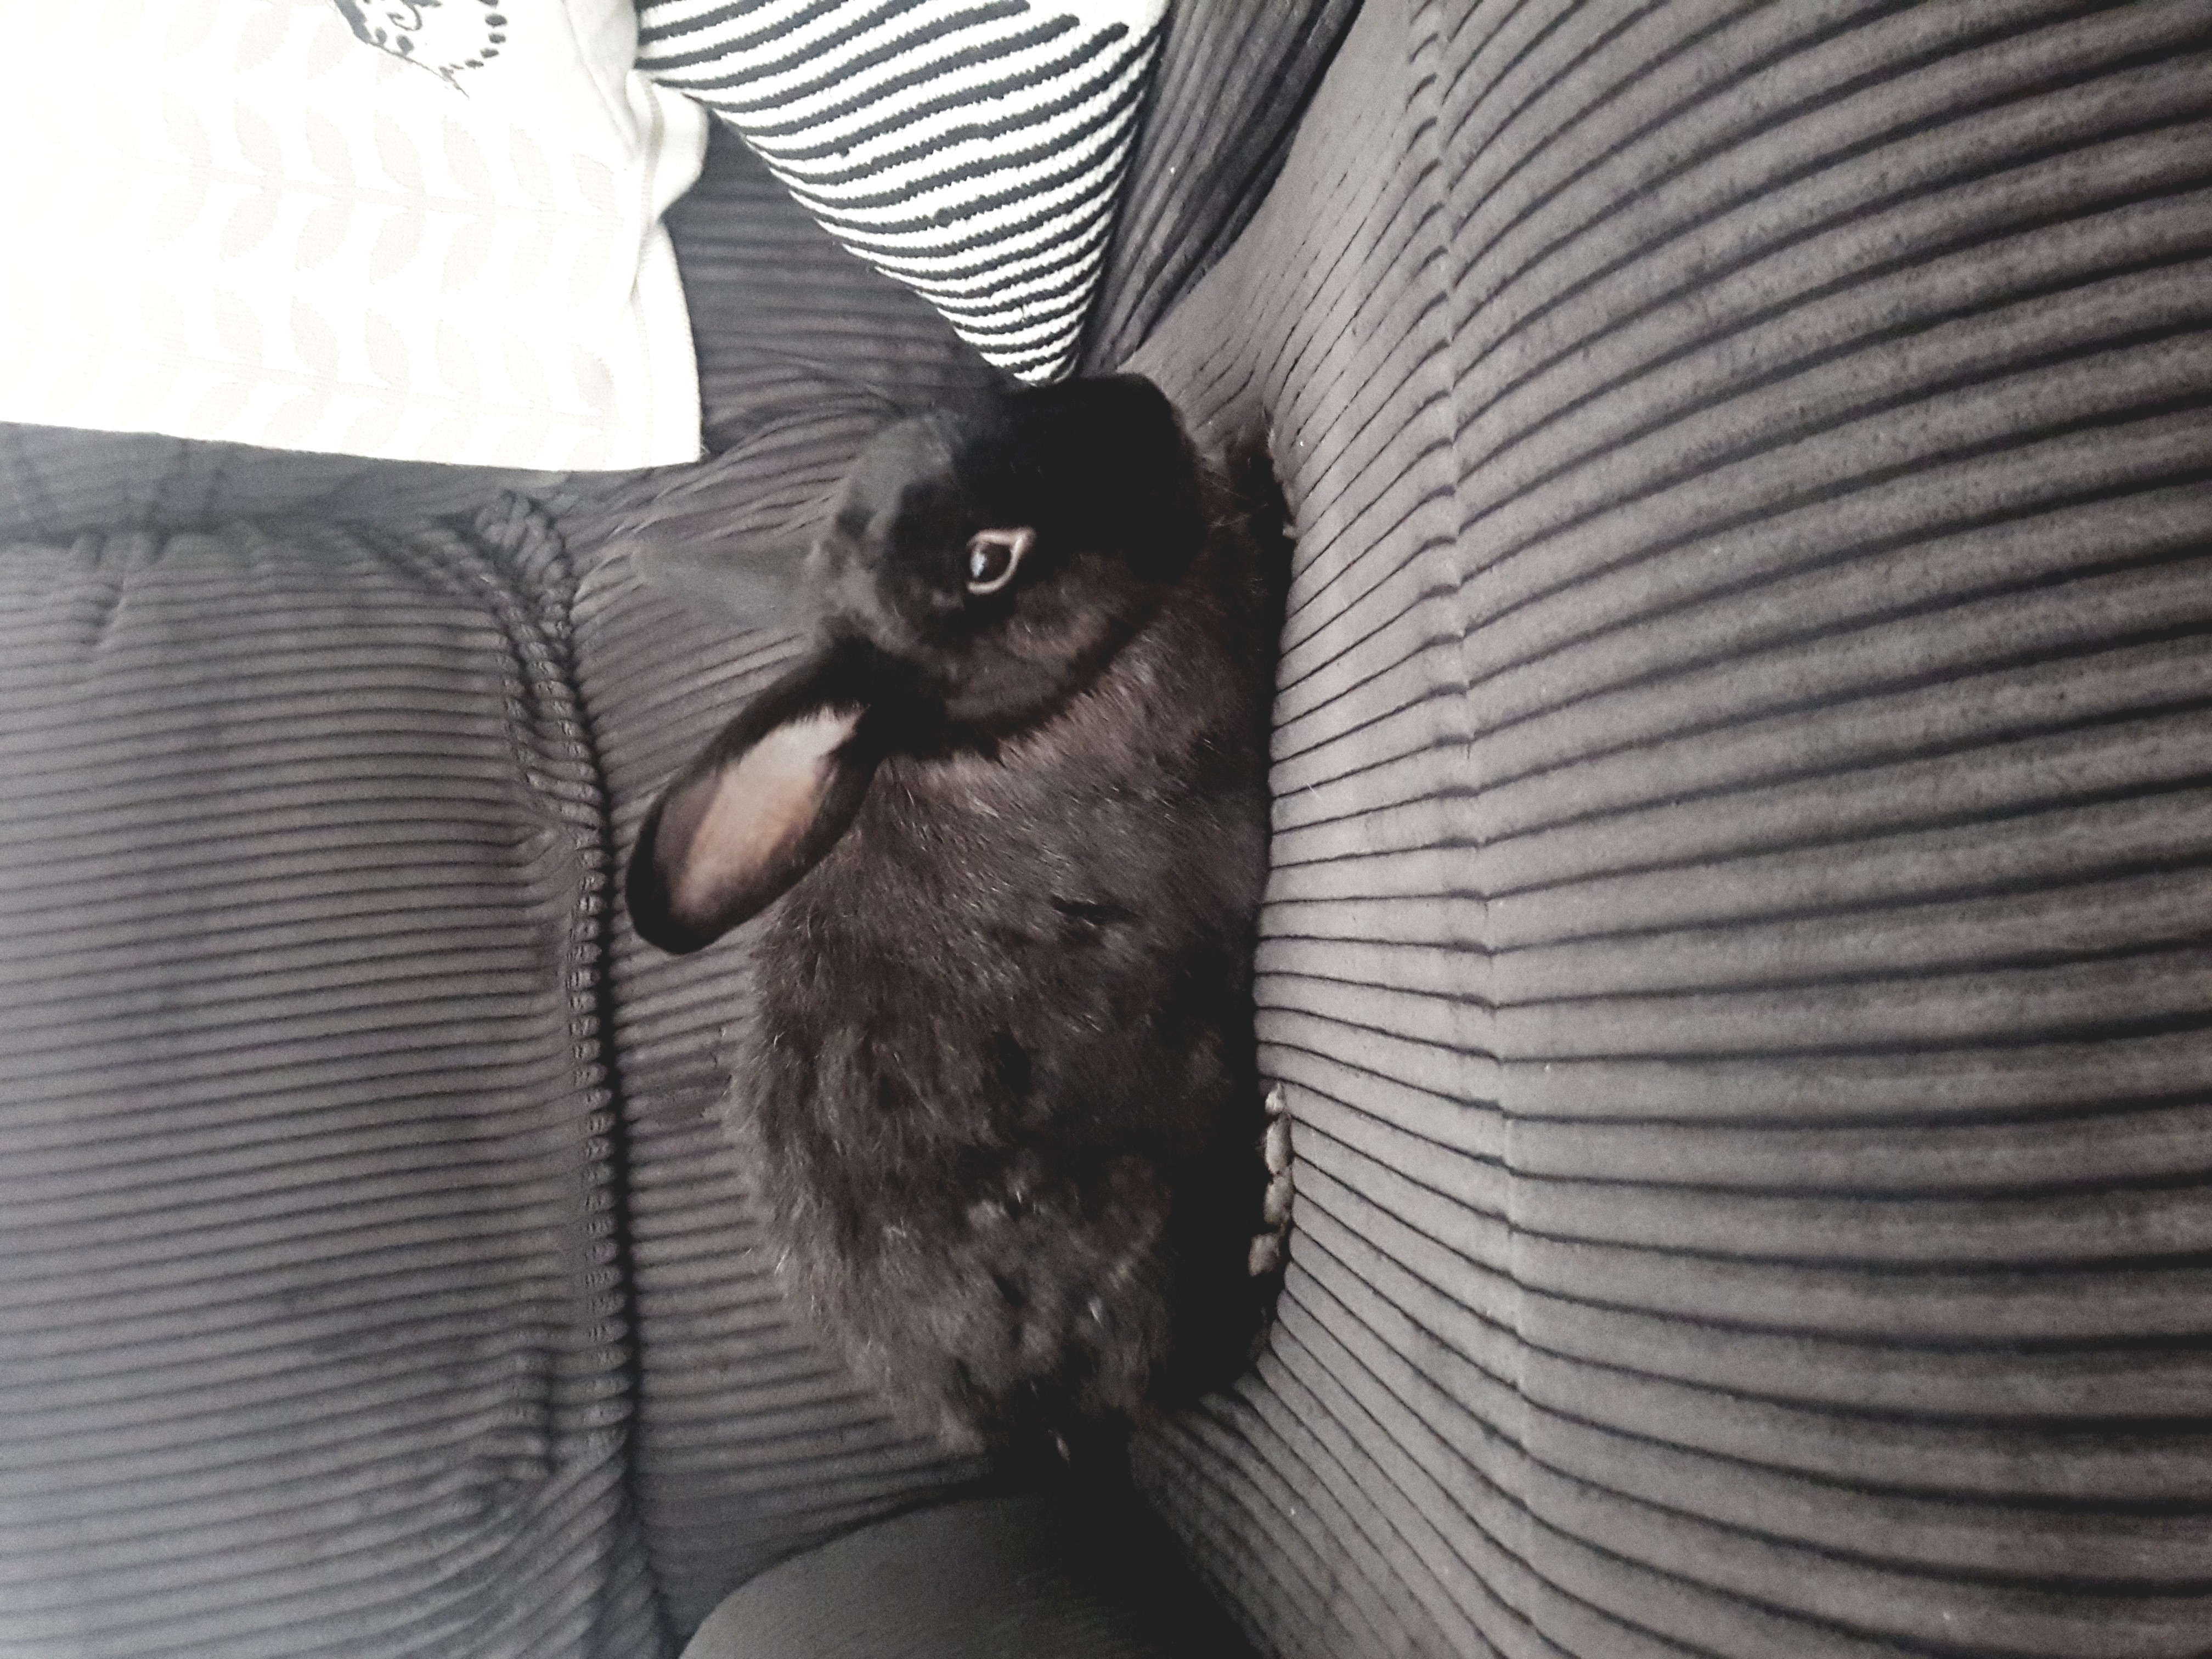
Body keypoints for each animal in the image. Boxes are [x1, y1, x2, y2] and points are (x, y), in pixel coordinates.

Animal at [625, 373, 1291, 1456]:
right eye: (988, 562)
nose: (1143, 400)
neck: (1027, 708)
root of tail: (1004, 1411)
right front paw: (1268, 485)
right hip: (1140, 1222)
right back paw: (1266, 1210)